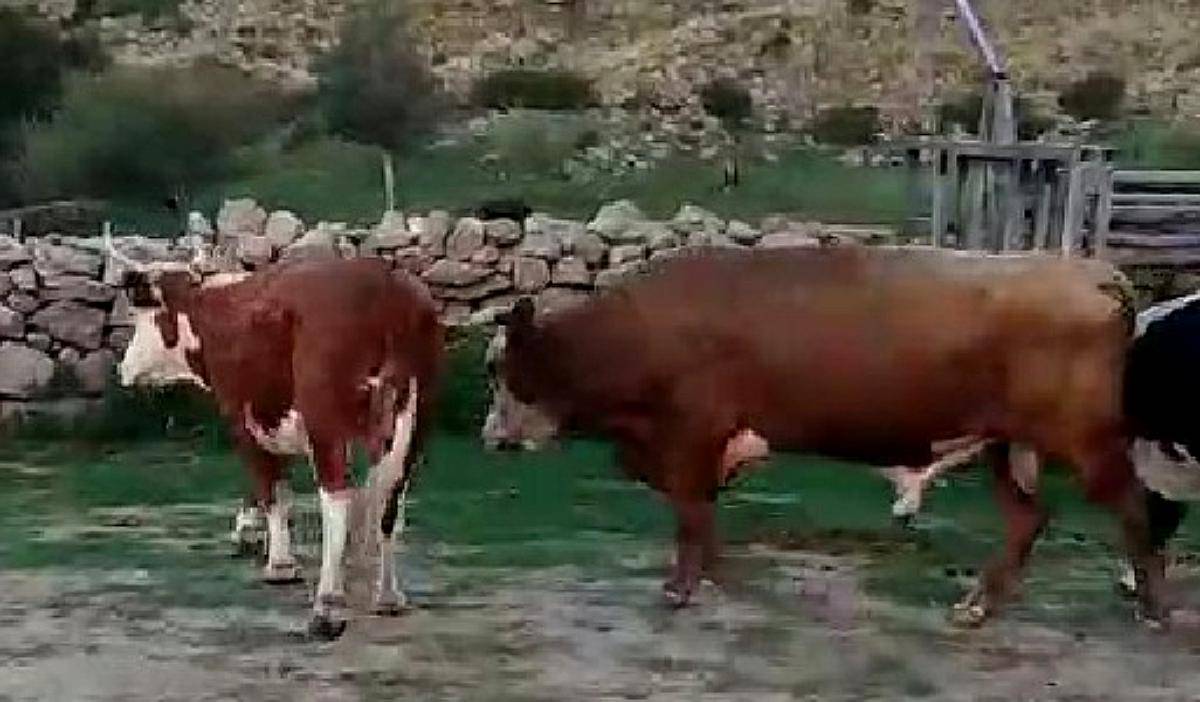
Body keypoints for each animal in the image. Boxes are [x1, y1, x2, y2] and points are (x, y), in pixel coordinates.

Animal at [105, 239, 443, 639]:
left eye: (139, 316)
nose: (123, 368)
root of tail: (387, 281)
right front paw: (247, 529)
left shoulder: (239, 416)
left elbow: (270, 486)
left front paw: (279, 563)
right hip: (415, 419)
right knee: (390, 500)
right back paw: (388, 595)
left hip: (325, 417)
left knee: (338, 497)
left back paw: (327, 607)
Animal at [482, 245, 1169, 627]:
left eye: (498, 369)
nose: (492, 436)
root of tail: (1094, 270)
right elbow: (701, 514)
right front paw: (719, 579)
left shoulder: (692, 431)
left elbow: (689, 512)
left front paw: (682, 588)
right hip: (1004, 443)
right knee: (1029, 519)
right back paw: (978, 605)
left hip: (1087, 440)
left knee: (1136, 510)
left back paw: (1155, 609)